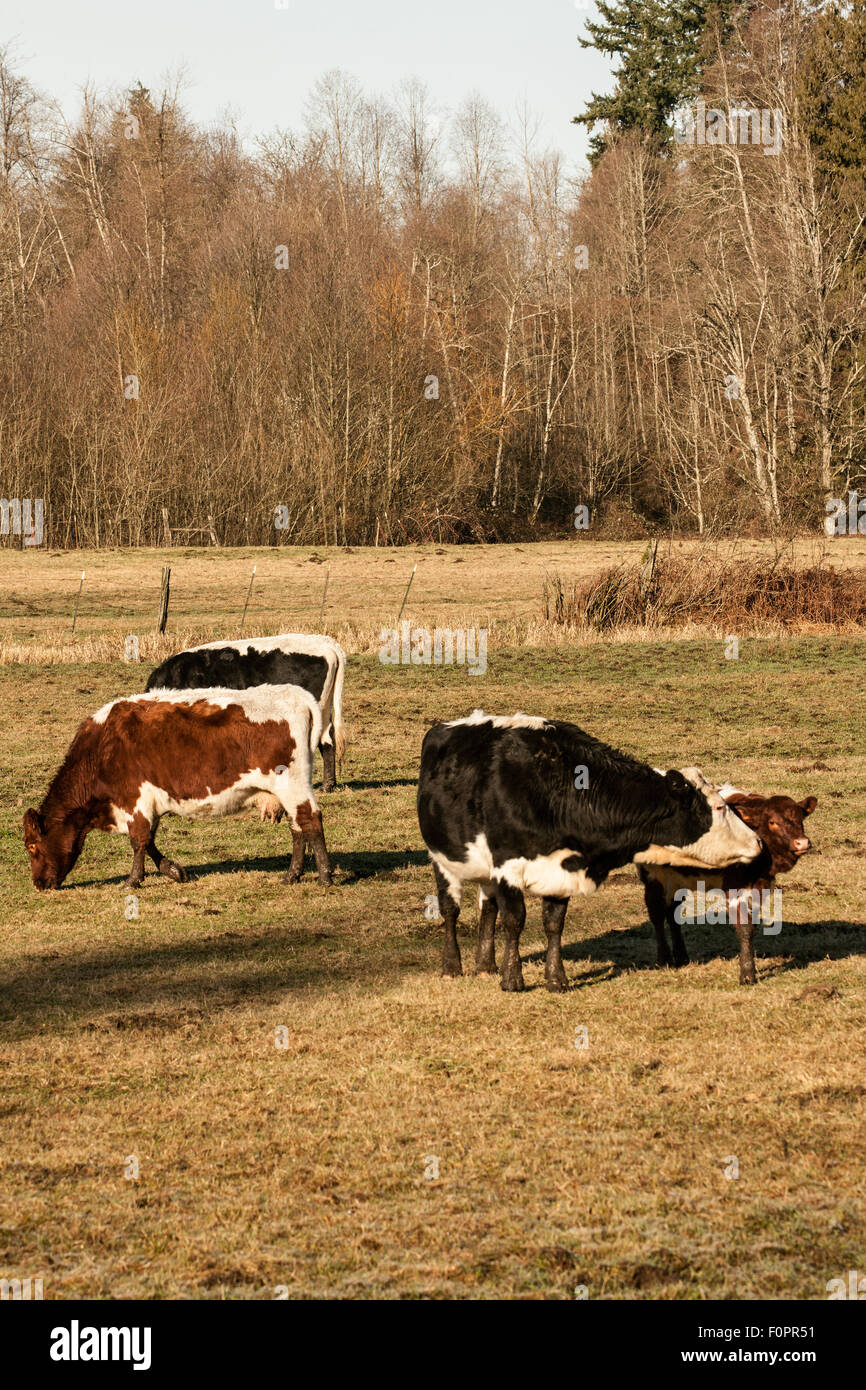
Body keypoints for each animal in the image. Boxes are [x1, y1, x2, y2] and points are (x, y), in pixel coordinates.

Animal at [22, 685, 332, 892]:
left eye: (32, 846)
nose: (37, 884)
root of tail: (294, 693)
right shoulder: (148, 804)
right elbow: (150, 842)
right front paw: (173, 870)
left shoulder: (134, 801)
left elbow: (139, 841)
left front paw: (132, 881)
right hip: (288, 792)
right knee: (297, 828)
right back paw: (292, 875)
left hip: (293, 785)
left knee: (311, 821)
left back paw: (325, 876)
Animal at [416, 712, 761, 992]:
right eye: (719, 807)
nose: (757, 842)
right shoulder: (508, 867)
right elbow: (514, 920)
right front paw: (512, 979)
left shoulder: (560, 869)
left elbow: (553, 924)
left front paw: (556, 979)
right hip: (442, 861)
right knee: (450, 910)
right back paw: (452, 966)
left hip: (484, 870)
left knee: (487, 909)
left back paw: (485, 965)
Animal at [638, 780, 817, 984]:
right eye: (772, 822)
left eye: (800, 819)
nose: (802, 842)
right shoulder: (735, 887)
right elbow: (744, 927)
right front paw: (747, 974)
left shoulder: (760, 885)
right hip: (653, 876)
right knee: (656, 913)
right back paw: (664, 959)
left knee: (671, 910)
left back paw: (682, 957)